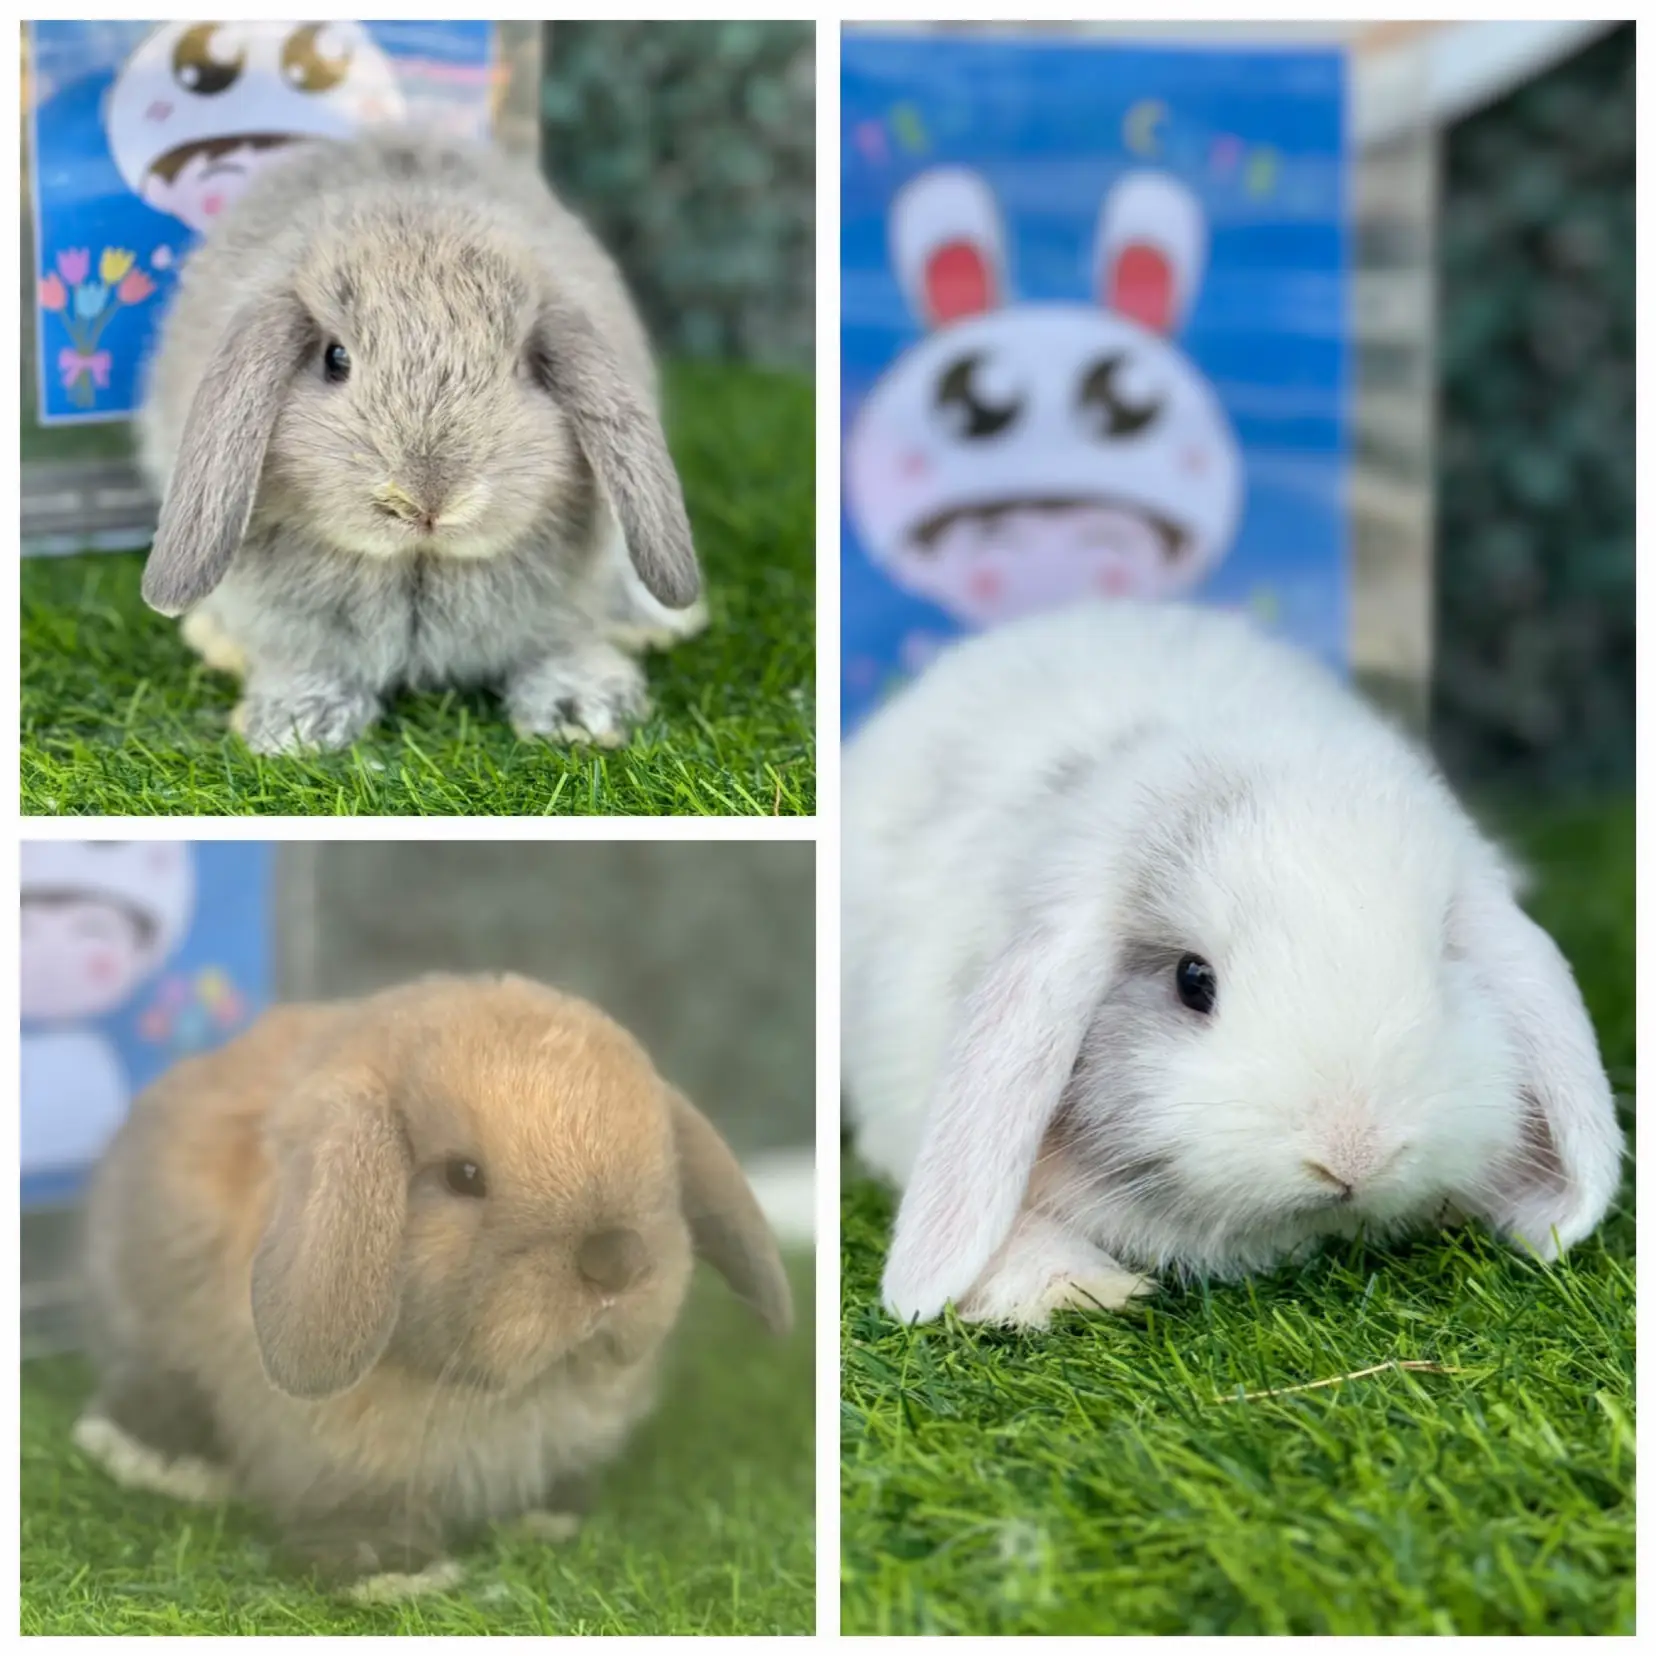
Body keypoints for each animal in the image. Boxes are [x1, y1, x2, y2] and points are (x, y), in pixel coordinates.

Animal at [72, 974, 792, 1600]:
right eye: (462, 1176)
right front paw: (394, 1578)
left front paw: (547, 1517)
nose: (617, 1261)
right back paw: (161, 1461)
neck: (508, 1393)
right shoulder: (342, 1470)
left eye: (661, 1159)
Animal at [136, 128, 707, 755]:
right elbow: (309, 662)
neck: (418, 563)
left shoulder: (566, 607)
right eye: (336, 359)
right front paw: (297, 729)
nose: (426, 501)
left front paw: (585, 712)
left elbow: (559, 646)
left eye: (519, 370)